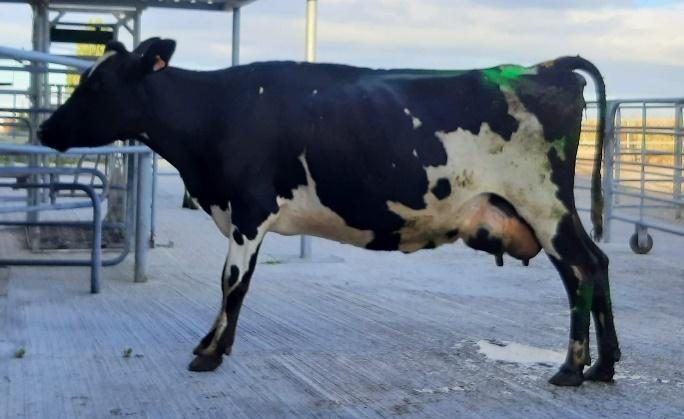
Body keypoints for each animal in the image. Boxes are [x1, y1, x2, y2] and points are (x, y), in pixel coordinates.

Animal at [38, 38, 621, 387]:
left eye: (97, 83)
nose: (44, 129)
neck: (216, 112)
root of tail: (545, 67)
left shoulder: (249, 209)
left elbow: (232, 282)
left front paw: (210, 352)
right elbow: (235, 283)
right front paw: (212, 345)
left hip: (542, 203)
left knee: (581, 269)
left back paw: (572, 368)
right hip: (544, 209)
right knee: (593, 265)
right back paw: (602, 366)